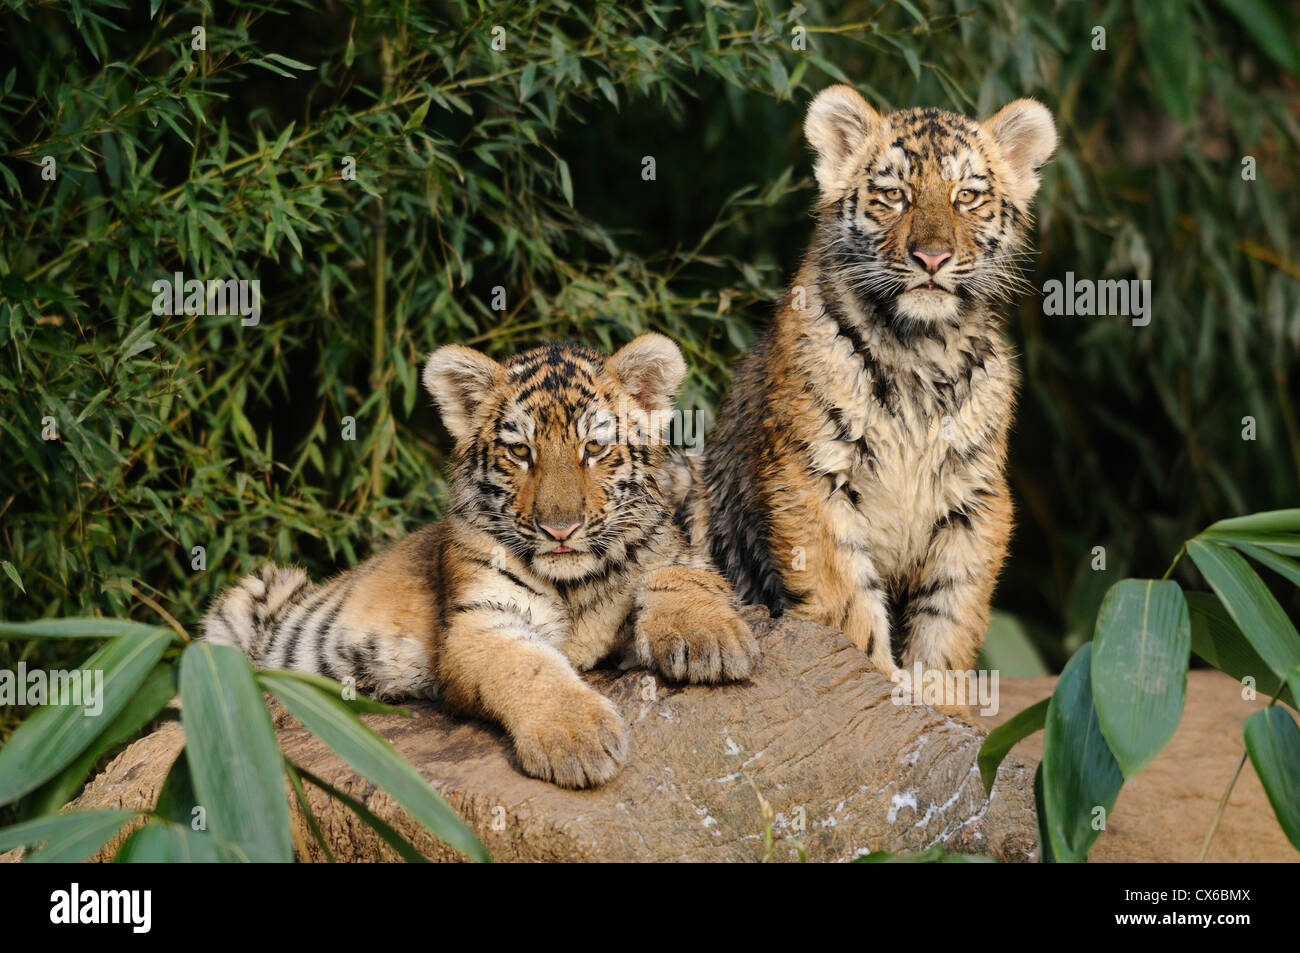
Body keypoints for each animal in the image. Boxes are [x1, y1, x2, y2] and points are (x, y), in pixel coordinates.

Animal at [202, 334, 761, 789]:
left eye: (594, 447)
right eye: (520, 452)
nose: (560, 528)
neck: (573, 584)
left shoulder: (675, 548)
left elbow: (680, 574)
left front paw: (711, 639)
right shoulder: (481, 622)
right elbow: (529, 667)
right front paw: (577, 738)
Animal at [680, 84, 1057, 691]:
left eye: (966, 197)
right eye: (894, 195)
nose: (932, 258)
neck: (919, 348)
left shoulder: (974, 501)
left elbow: (950, 618)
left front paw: (939, 699)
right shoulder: (812, 480)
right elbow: (848, 606)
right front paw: (877, 678)